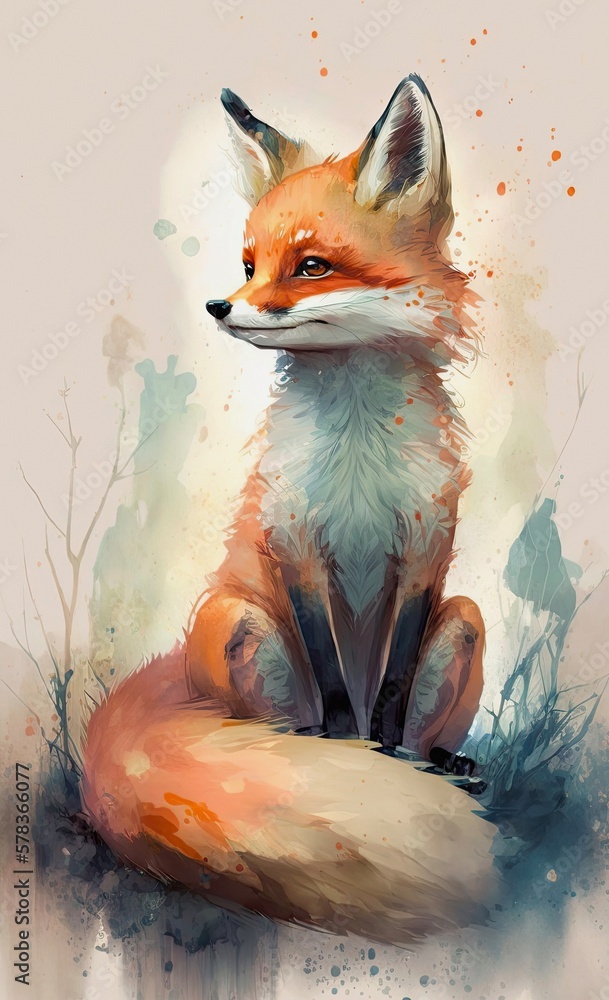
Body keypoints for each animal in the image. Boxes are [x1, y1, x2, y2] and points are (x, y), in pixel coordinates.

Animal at [81, 75, 493, 945]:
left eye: (309, 266)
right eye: (248, 263)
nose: (218, 305)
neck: (359, 459)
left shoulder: (425, 549)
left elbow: (392, 690)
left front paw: (387, 759)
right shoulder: (298, 541)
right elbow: (336, 685)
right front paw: (347, 760)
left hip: (466, 619)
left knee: (427, 724)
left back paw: (440, 766)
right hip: (234, 622)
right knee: (275, 728)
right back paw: (307, 755)